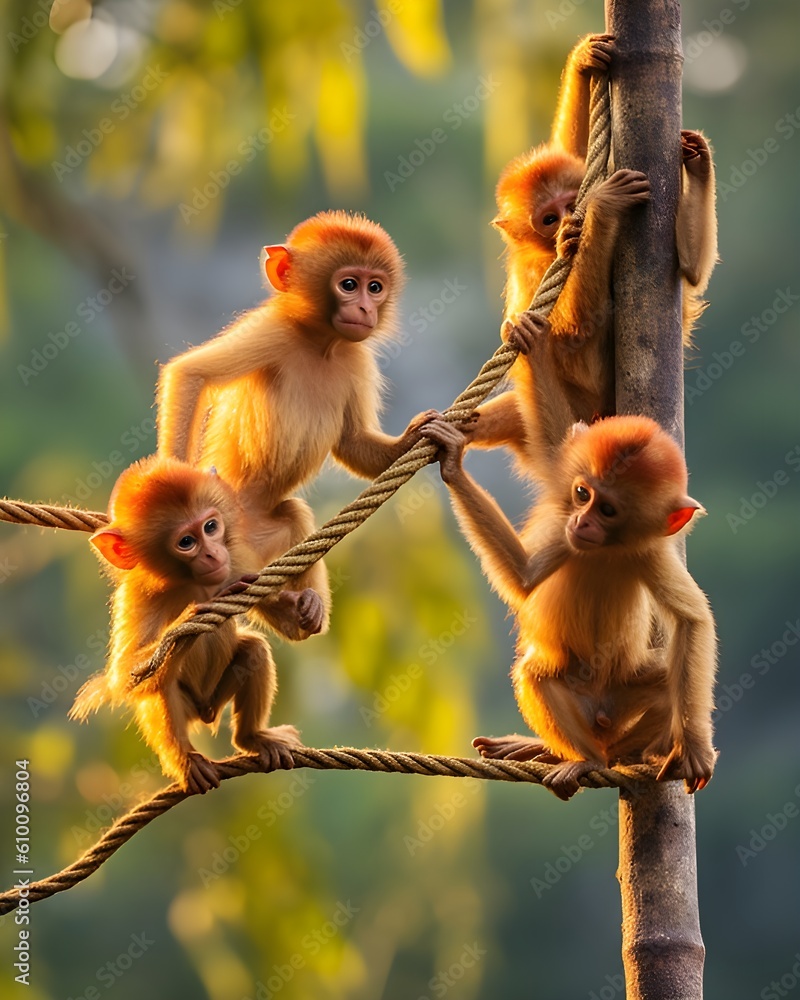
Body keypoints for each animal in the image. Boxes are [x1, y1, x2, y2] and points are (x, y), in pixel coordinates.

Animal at [70, 456, 322, 794]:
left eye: (210, 527)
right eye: (186, 542)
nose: (212, 554)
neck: (193, 583)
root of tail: (204, 711)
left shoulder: (236, 564)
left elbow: (288, 626)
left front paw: (307, 607)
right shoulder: (137, 597)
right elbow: (123, 677)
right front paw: (188, 619)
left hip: (217, 696)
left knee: (254, 650)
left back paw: (252, 738)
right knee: (160, 683)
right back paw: (186, 761)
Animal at [156, 211, 435, 644]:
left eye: (375, 287)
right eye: (349, 285)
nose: (365, 308)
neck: (320, 343)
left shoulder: (355, 355)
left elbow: (352, 442)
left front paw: (415, 437)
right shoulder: (270, 330)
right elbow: (191, 374)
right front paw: (173, 475)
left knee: (293, 515)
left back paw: (302, 612)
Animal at [422, 357, 717, 801]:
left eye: (608, 510)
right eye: (583, 494)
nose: (584, 522)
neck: (604, 550)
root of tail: (600, 719)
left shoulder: (650, 552)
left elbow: (692, 621)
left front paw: (694, 746)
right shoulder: (565, 533)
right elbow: (526, 577)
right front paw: (453, 463)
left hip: (621, 697)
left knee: (666, 679)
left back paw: (615, 754)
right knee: (537, 676)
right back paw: (581, 758)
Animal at [470, 34, 717, 472]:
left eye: (570, 202)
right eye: (549, 218)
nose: (570, 220)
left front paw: (583, 63)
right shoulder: (533, 268)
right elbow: (575, 327)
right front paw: (602, 208)